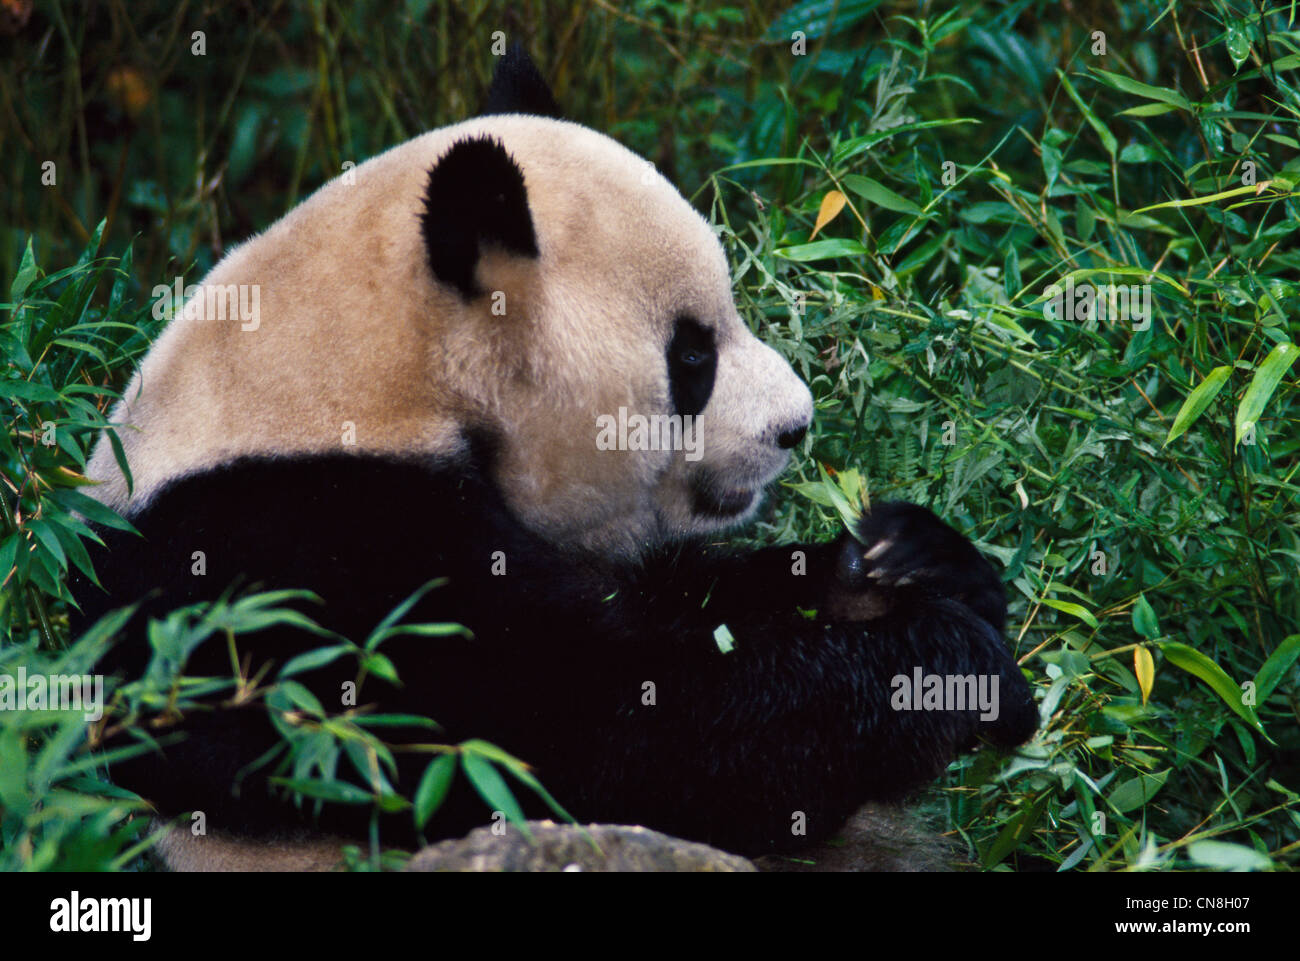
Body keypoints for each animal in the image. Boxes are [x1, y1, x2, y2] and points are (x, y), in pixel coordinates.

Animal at [72, 47, 1037, 871]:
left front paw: (910, 560)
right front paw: (955, 668)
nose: (795, 427)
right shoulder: (296, 563)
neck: (368, 377)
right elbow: (590, 733)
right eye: (693, 355)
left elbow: (681, 600)